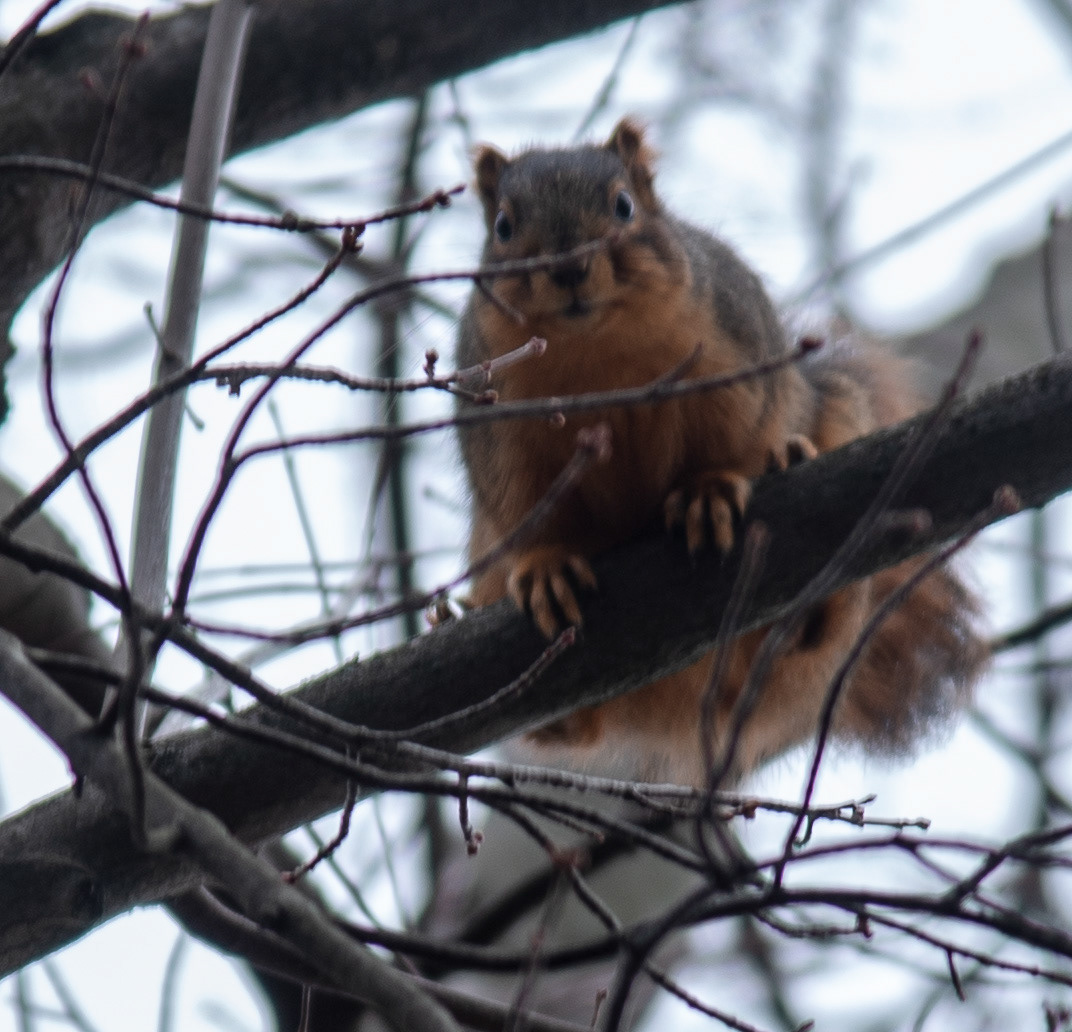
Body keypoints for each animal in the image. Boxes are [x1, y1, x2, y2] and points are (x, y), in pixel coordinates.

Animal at [455, 117, 986, 785]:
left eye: (624, 205)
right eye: (502, 226)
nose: (571, 265)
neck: (595, 352)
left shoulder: (732, 362)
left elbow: (736, 441)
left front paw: (707, 491)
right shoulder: (498, 430)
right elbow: (527, 510)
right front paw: (546, 565)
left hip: (838, 421)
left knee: (818, 632)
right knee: (574, 730)